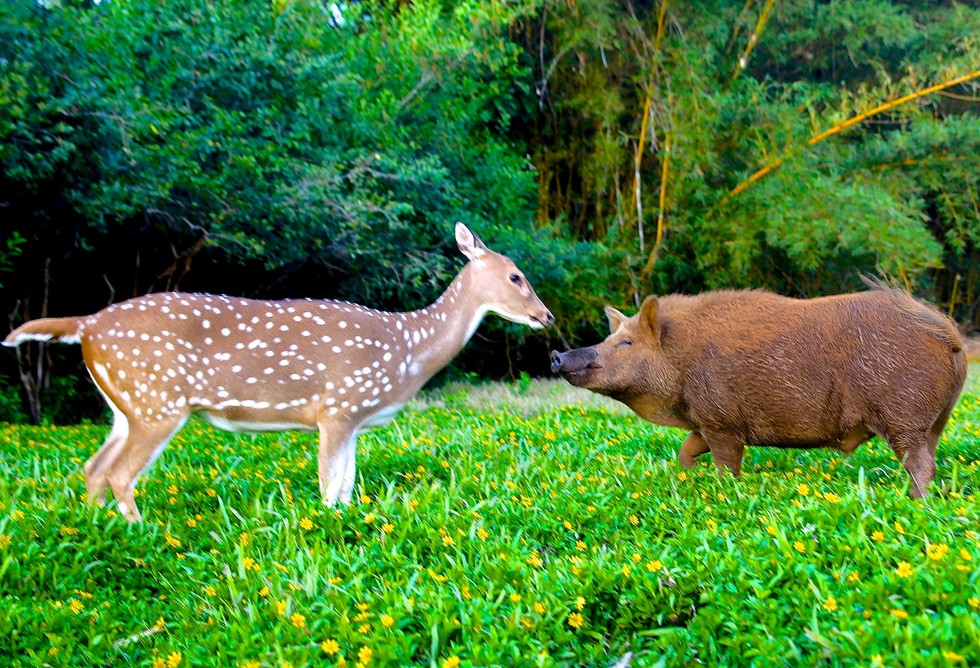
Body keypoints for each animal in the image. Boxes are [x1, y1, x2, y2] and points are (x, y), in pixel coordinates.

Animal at [3, 223, 554, 522]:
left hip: (127, 405)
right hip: (157, 401)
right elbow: (330, 491)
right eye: (516, 276)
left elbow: (345, 490)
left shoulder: (351, 419)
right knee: (118, 473)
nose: (547, 316)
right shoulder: (339, 405)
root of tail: (86, 324)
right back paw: (143, 534)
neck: (406, 350)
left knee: (93, 468)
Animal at [550, 279, 967, 497]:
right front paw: (686, 475)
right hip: (936, 421)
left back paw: (914, 502)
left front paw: (722, 490)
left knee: (920, 463)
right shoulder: (706, 421)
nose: (556, 355)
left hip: (905, 416)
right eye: (609, 337)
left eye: (626, 343)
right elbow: (688, 448)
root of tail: (946, 330)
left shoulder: (721, 422)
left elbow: (727, 462)